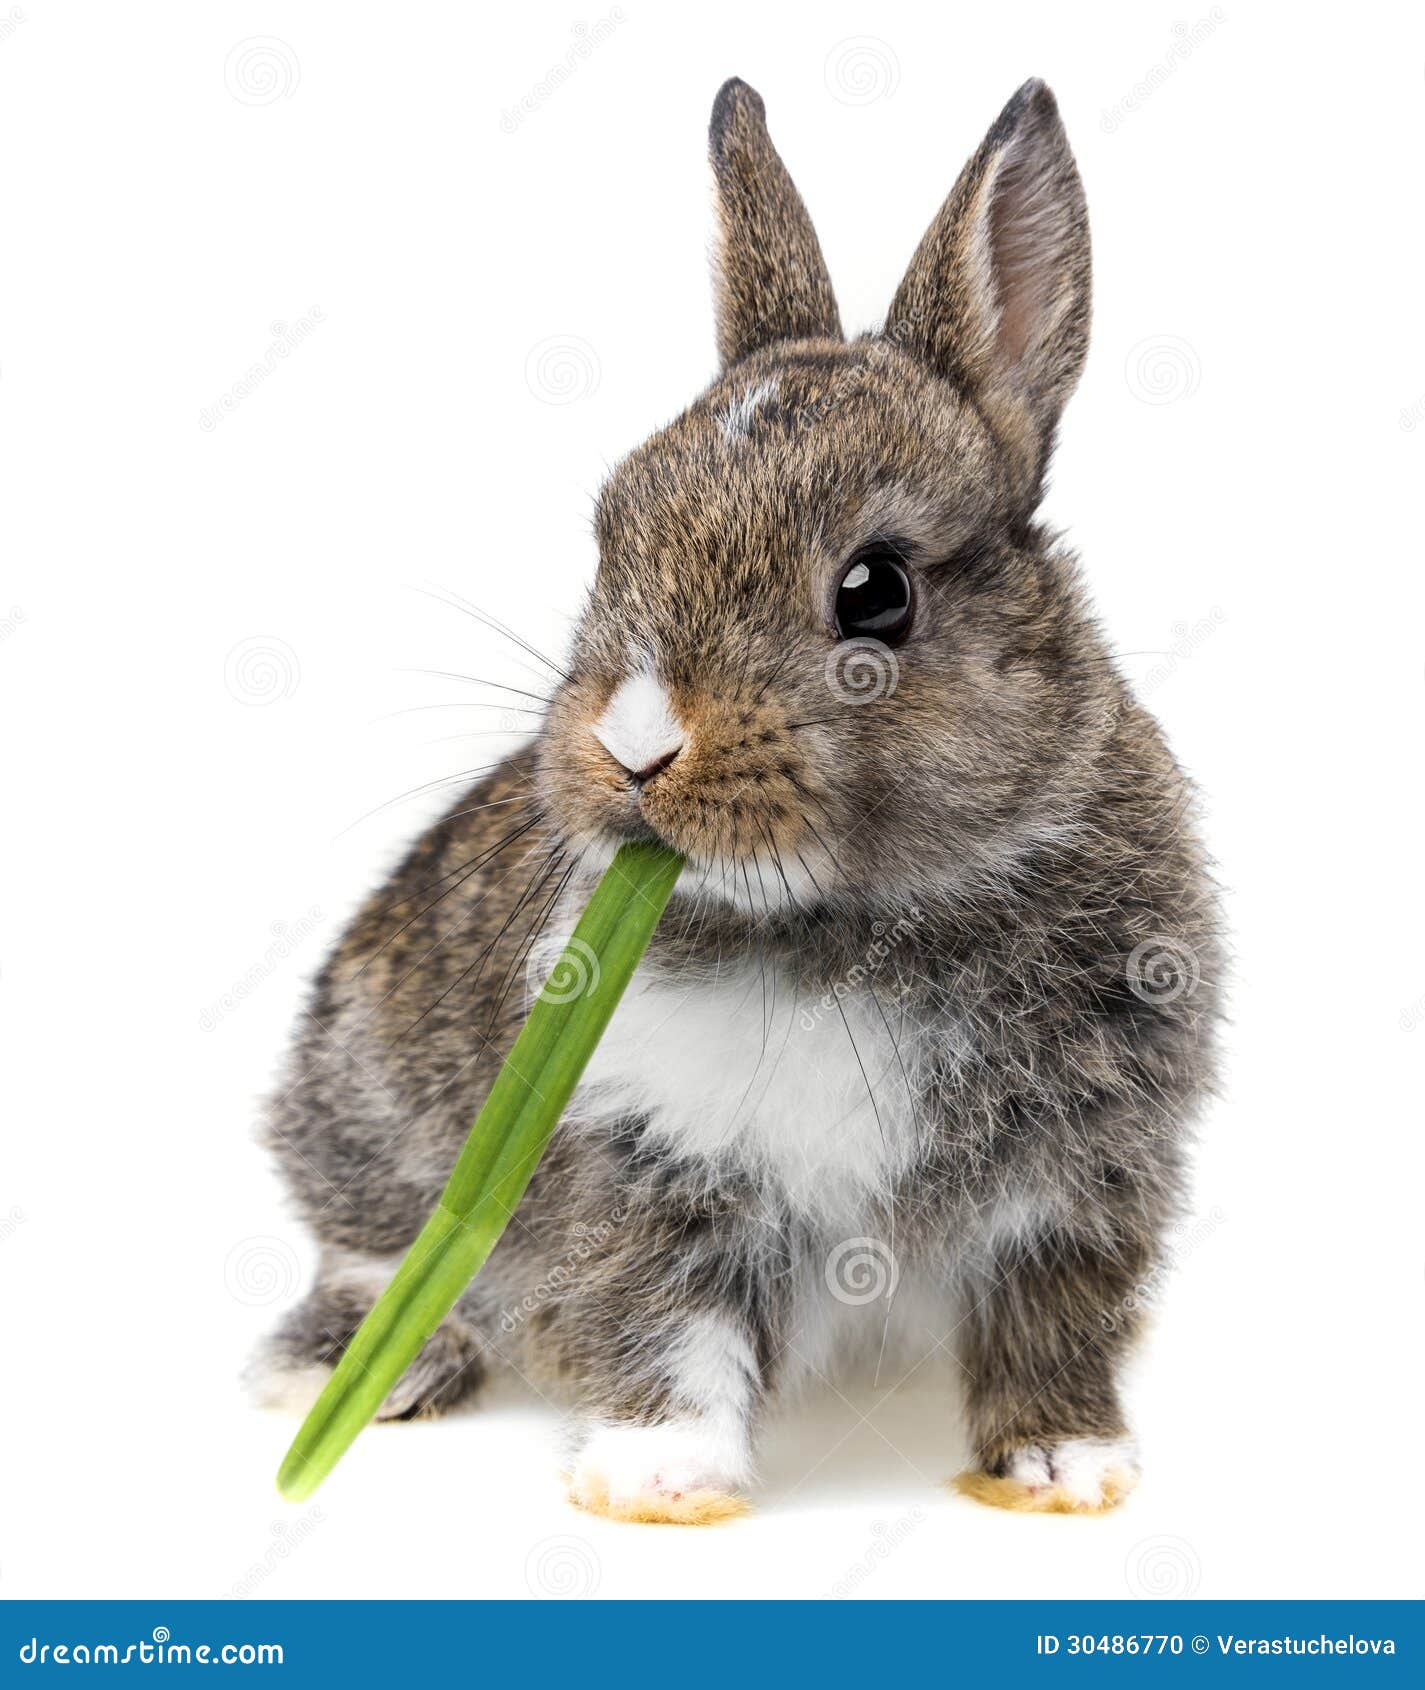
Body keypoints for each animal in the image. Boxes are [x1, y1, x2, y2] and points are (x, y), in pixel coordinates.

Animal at [255, 76, 1221, 1523]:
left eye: (876, 590)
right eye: (613, 531)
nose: (634, 747)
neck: (860, 920)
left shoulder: (1077, 1181)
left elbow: (1048, 1320)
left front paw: (1064, 1467)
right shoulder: (646, 1167)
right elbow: (666, 1317)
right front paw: (661, 1480)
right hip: (369, 1105)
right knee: (372, 1246)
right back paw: (361, 1368)